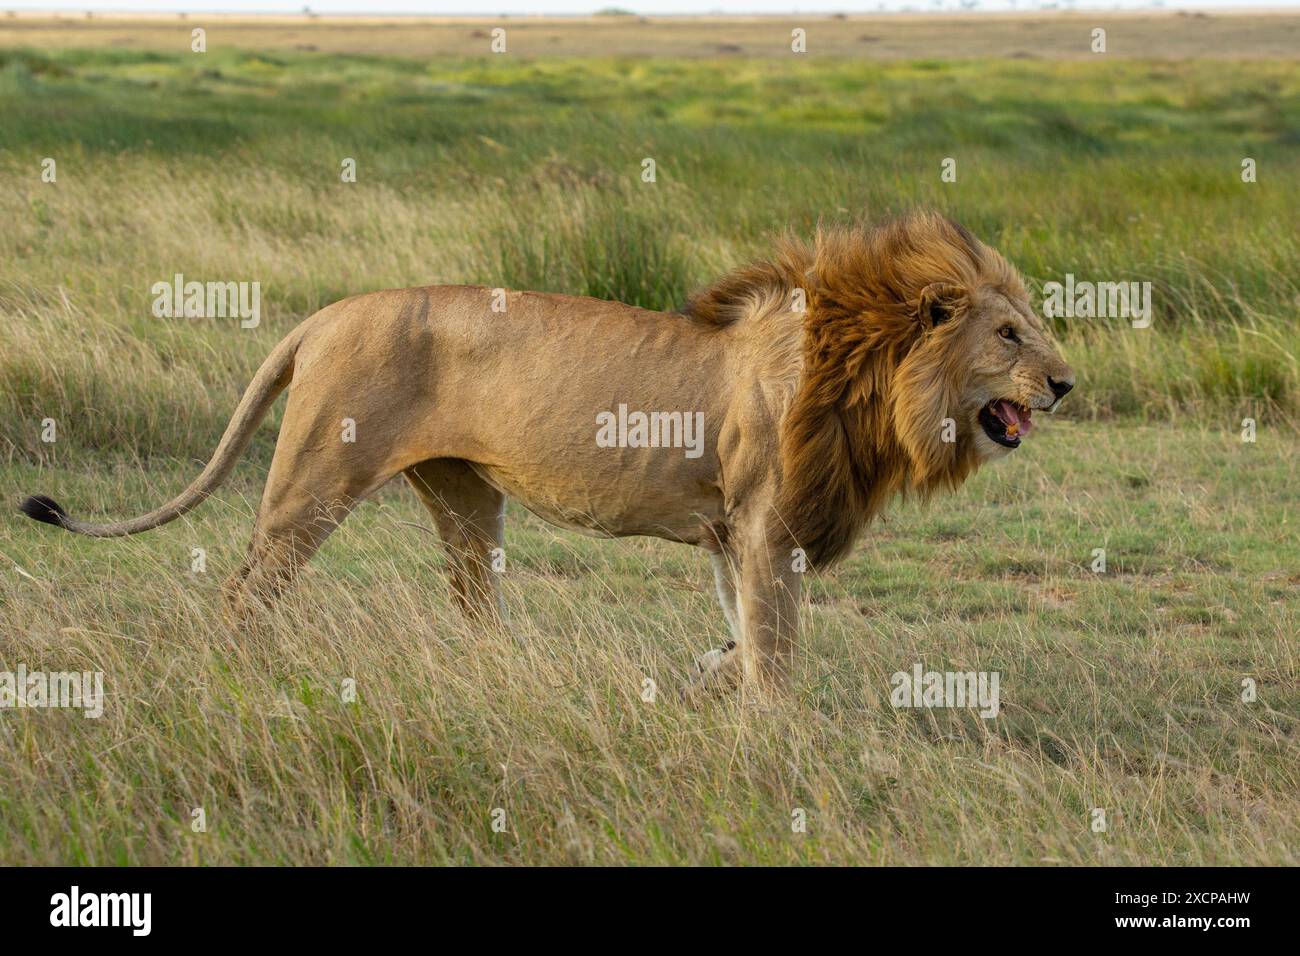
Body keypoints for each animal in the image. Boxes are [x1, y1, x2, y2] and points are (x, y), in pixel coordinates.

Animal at [20, 212, 1074, 694]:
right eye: (1010, 334)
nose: (1066, 384)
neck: (876, 383)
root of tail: (323, 315)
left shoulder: (736, 532)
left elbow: (742, 632)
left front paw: (705, 676)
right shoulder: (770, 528)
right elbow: (776, 651)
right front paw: (772, 732)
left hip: (463, 498)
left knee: (472, 606)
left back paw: (493, 682)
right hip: (316, 477)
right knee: (246, 588)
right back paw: (238, 673)